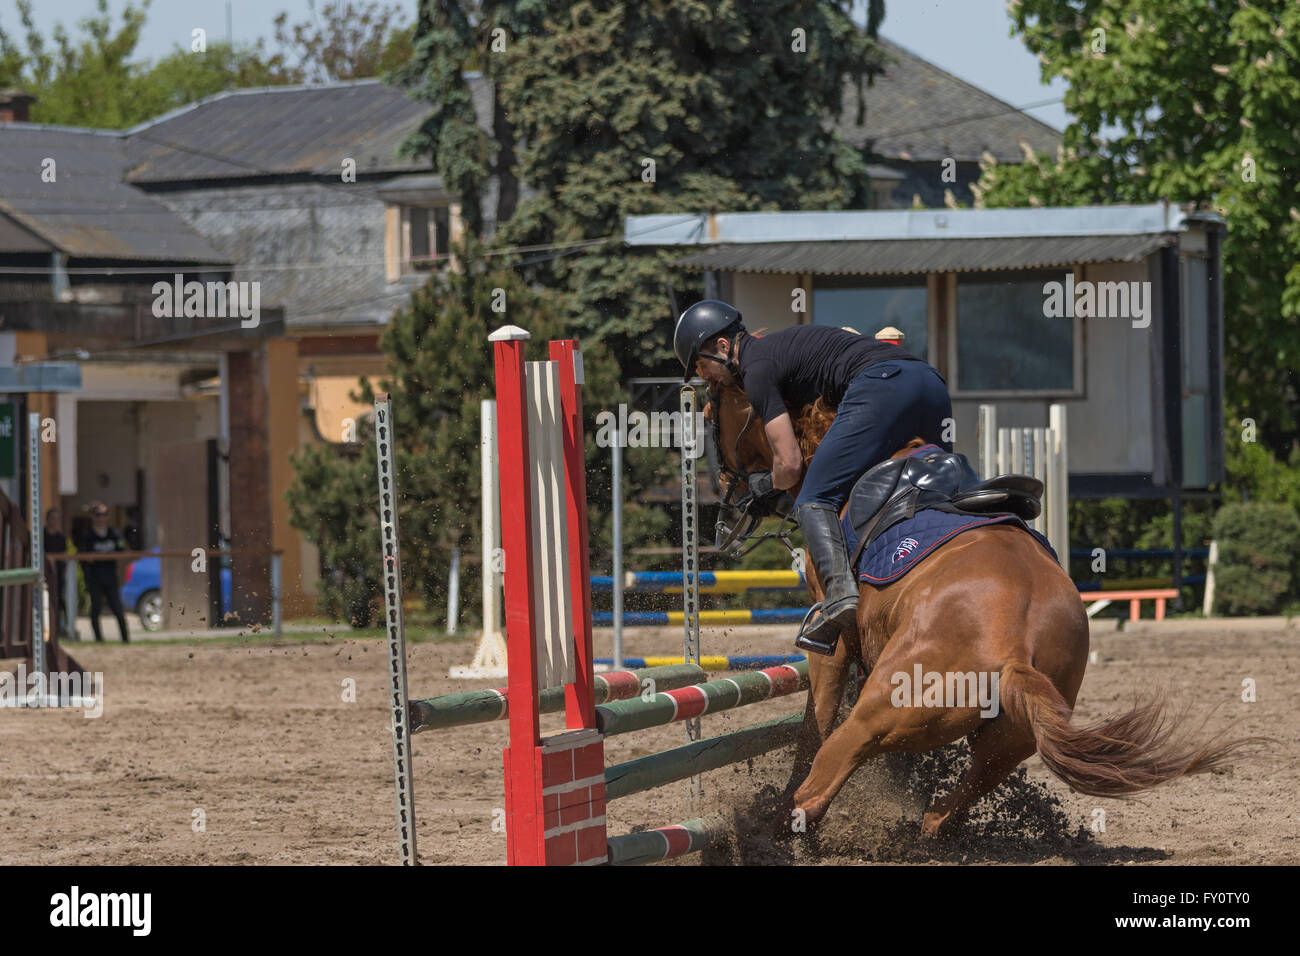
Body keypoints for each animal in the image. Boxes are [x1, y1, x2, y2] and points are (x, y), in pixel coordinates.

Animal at [705, 383, 1264, 837]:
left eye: (715, 412)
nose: (726, 501)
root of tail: (1013, 652)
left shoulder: (834, 639)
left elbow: (813, 720)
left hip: (874, 721)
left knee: (819, 789)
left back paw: (770, 832)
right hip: (1005, 746)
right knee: (945, 812)